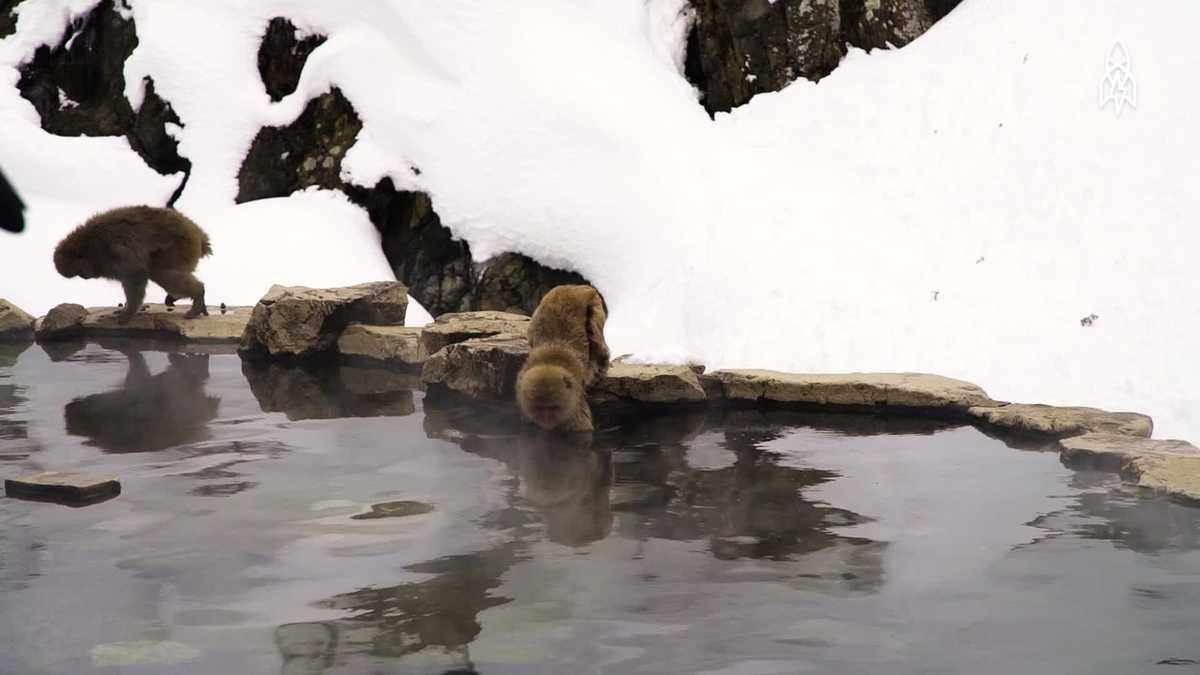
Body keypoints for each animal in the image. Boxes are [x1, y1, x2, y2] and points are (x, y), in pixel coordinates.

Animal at [53, 205, 212, 324]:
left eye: (79, 271)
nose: (85, 276)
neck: (90, 245)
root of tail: (197, 233)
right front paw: (126, 309)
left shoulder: (115, 251)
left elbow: (136, 274)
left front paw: (129, 312)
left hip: (182, 246)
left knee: (158, 271)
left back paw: (198, 293)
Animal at [516, 284, 610, 432]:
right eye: (539, 409)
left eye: (552, 408)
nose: (546, 421)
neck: (549, 361)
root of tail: (576, 286)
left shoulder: (575, 405)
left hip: (595, 304)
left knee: (594, 333)